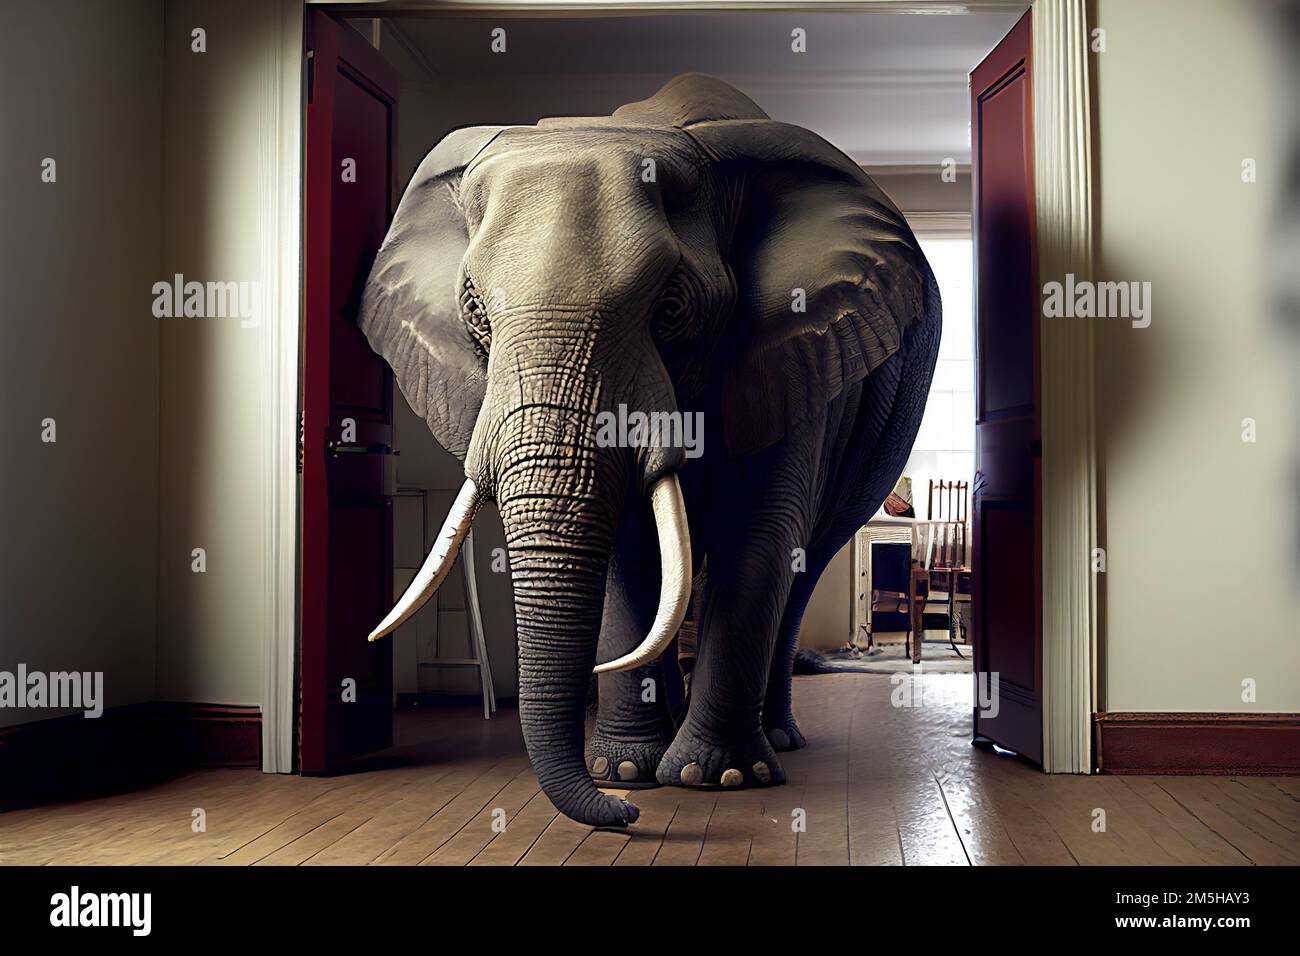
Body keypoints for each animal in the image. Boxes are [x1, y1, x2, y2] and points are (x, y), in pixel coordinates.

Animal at [359, 74, 941, 828]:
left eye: (671, 311)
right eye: (477, 316)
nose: (623, 816)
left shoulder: (793, 348)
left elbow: (759, 534)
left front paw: (714, 779)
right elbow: (626, 551)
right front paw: (629, 772)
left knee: (807, 562)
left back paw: (775, 741)